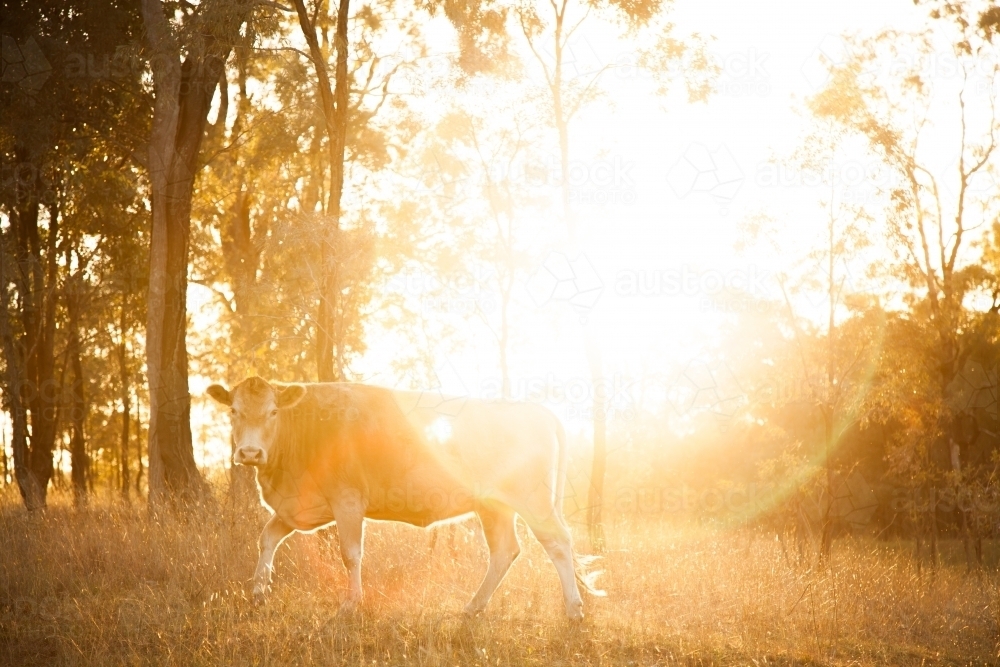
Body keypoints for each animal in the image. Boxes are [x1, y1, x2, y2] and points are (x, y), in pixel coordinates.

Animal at [206, 377, 604, 620]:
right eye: (234, 411)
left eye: (273, 411)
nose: (250, 453)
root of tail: (535, 409)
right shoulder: (297, 508)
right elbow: (266, 539)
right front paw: (259, 591)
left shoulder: (348, 501)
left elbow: (351, 554)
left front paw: (350, 605)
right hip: (495, 507)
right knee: (505, 551)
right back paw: (472, 607)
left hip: (534, 502)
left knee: (558, 544)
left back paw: (573, 609)